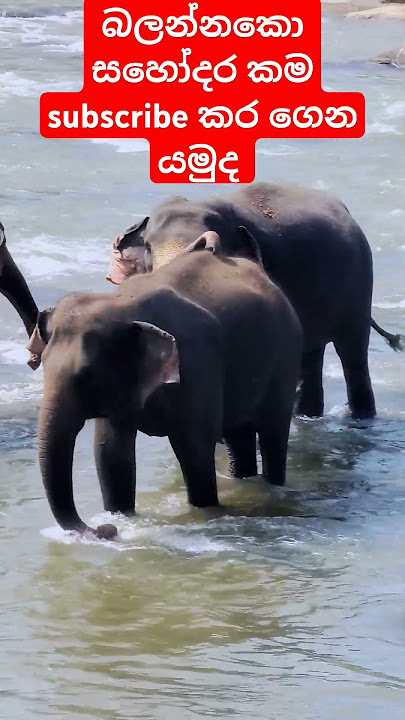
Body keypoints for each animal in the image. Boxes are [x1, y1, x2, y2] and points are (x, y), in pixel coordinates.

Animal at [30, 229, 302, 539]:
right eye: (42, 365)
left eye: (87, 375)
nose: (107, 528)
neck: (121, 304)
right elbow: (111, 453)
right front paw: (121, 514)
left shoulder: (196, 364)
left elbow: (194, 449)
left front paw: (204, 512)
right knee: (238, 434)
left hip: (286, 356)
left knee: (272, 433)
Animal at [107, 182, 402, 420]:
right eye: (147, 248)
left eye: (213, 248)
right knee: (310, 354)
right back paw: (307, 416)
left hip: (359, 284)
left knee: (352, 353)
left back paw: (360, 418)